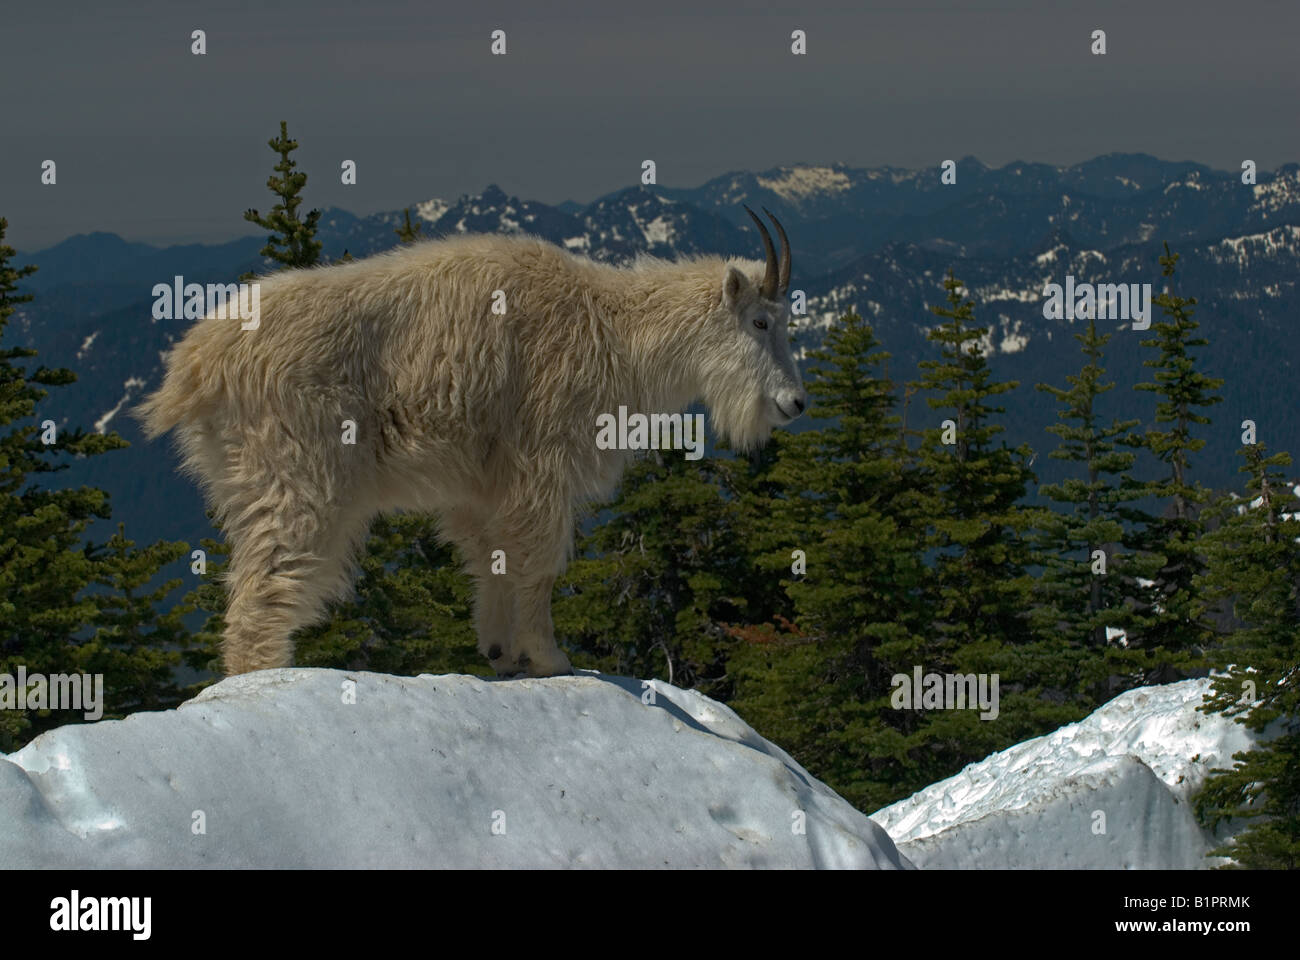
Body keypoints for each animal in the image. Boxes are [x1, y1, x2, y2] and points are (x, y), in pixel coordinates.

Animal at [136, 207, 806, 678]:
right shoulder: (542, 463)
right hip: (296, 475)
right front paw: (551, 657)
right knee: (262, 592)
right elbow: (537, 560)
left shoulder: (482, 487)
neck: (615, 332)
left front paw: (501, 652)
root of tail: (194, 366)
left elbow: (493, 560)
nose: (796, 404)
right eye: (760, 322)